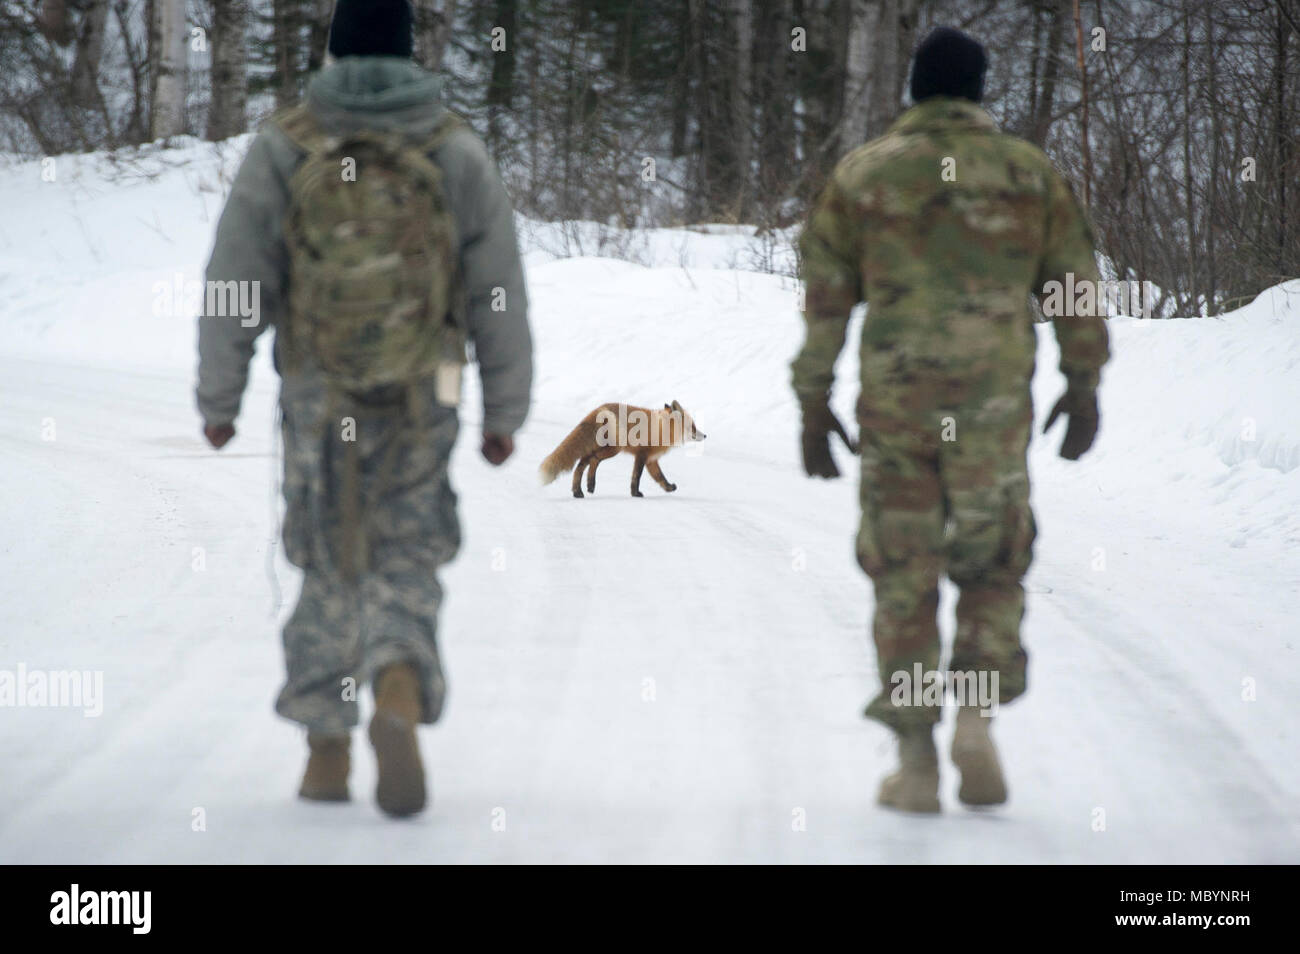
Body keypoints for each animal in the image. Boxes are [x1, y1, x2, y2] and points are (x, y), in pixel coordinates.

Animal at [539, 400, 707, 498]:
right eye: (693, 427)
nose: (705, 435)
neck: (663, 428)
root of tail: (599, 409)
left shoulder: (651, 459)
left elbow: (660, 477)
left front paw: (669, 488)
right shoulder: (642, 454)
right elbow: (636, 476)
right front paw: (635, 493)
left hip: (606, 449)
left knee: (586, 462)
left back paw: (584, 488)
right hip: (614, 449)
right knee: (590, 460)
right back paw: (583, 488)